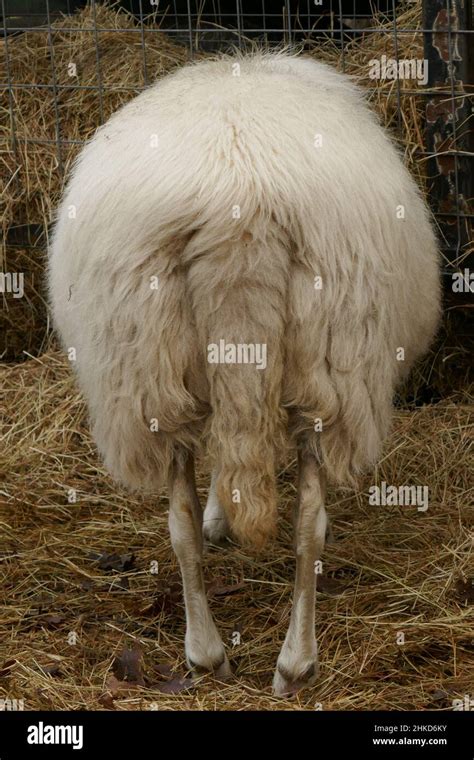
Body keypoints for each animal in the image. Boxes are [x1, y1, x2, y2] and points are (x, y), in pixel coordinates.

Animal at [48, 51, 441, 695]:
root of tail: (240, 213)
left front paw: (219, 516)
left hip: (155, 375)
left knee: (185, 522)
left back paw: (212, 655)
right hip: (323, 372)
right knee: (306, 523)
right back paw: (290, 663)